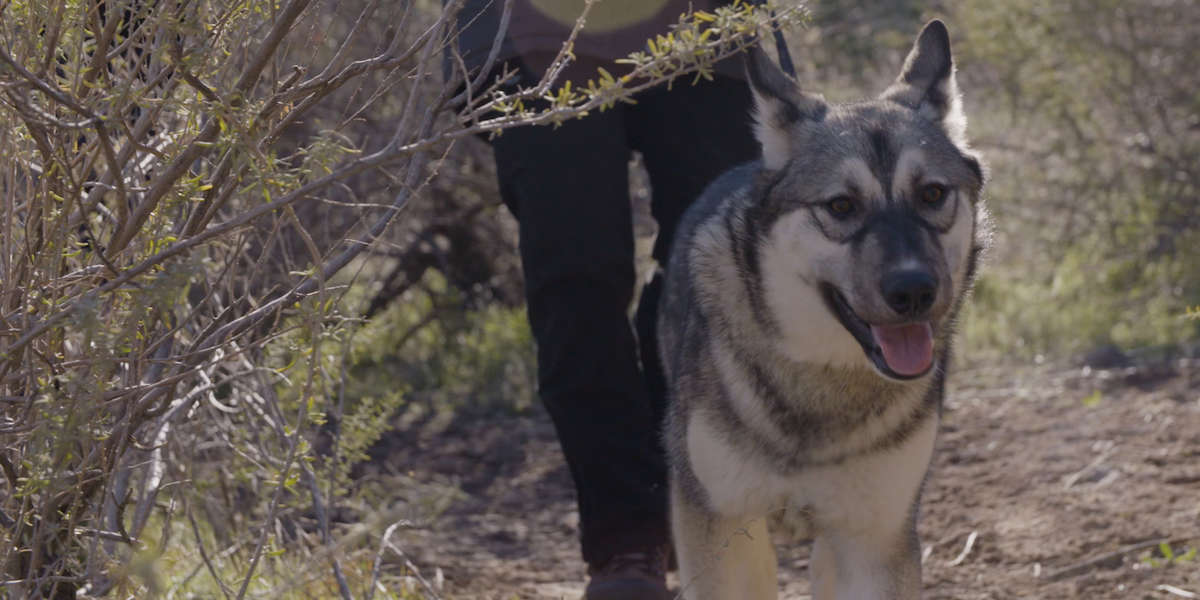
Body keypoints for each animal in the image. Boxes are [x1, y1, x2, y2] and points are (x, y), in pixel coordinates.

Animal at [657, 20, 987, 600]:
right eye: (841, 206)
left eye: (931, 194)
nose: (914, 291)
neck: (824, 381)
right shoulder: (723, 534)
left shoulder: (876, 540)